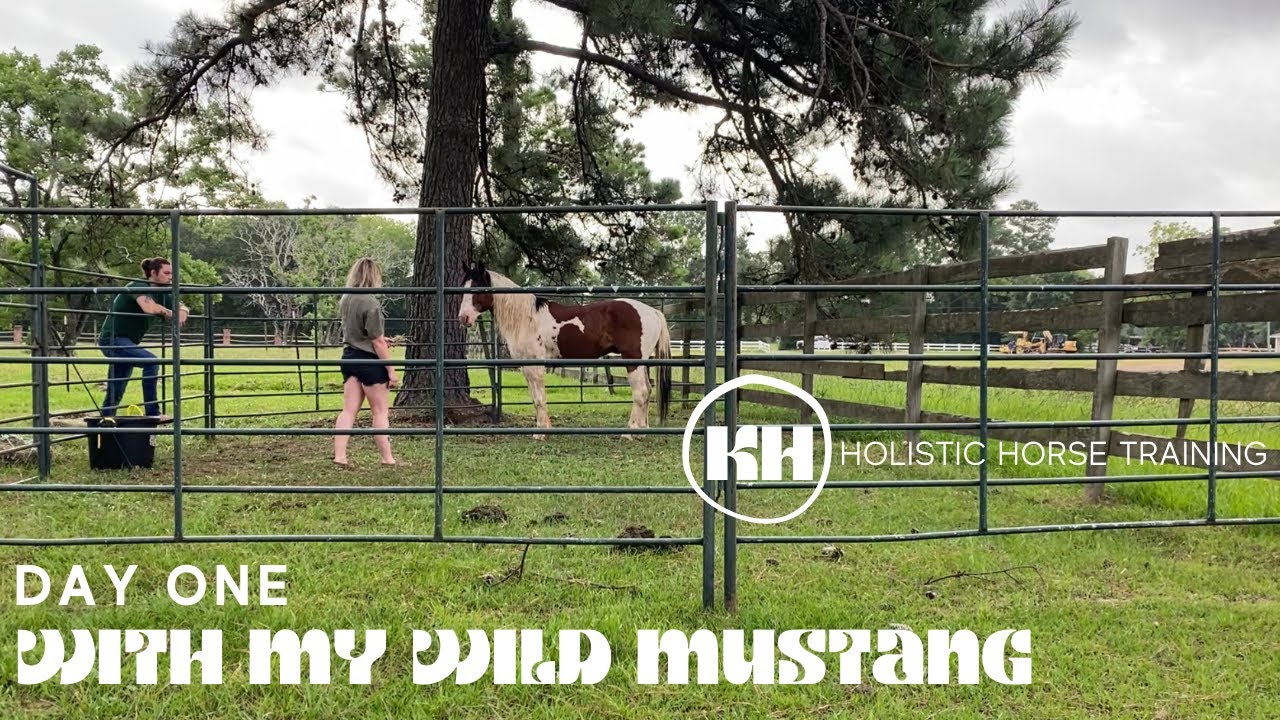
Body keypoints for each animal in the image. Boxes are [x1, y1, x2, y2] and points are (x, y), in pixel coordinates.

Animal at [457, 262, 673, 439]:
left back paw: (628, 433)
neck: (526, 317)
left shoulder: (535, 365)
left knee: (640, 392)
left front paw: (541, 434)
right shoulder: (526, 367)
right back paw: (641, 432)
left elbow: (539, 398)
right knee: (648, 390)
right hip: (642, 361)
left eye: (477, 289)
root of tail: (652, 311)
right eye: (462, 289)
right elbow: (534, 397)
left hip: (633, 360)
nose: (463, 318)